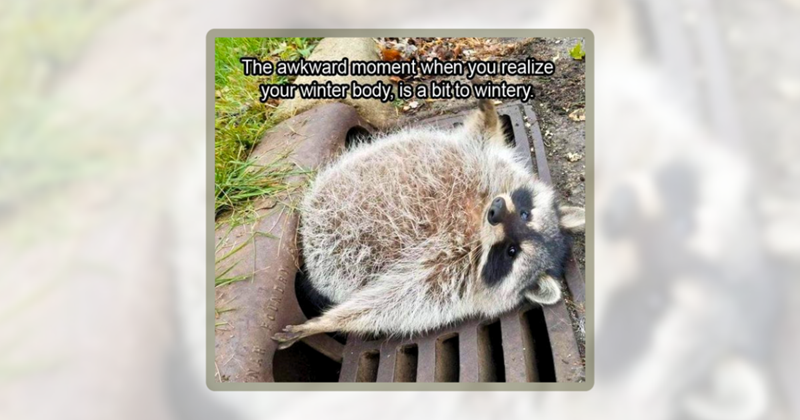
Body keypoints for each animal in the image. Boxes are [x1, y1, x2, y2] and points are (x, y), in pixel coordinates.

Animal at [273, 100, 584, 349]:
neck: (476, 225)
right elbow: (480, 140)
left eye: (512, 251)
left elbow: (389, 302)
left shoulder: (448, 278)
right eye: (525, 214)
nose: (496, 211)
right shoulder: (488, 168)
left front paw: (327, 322)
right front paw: (489, 117)